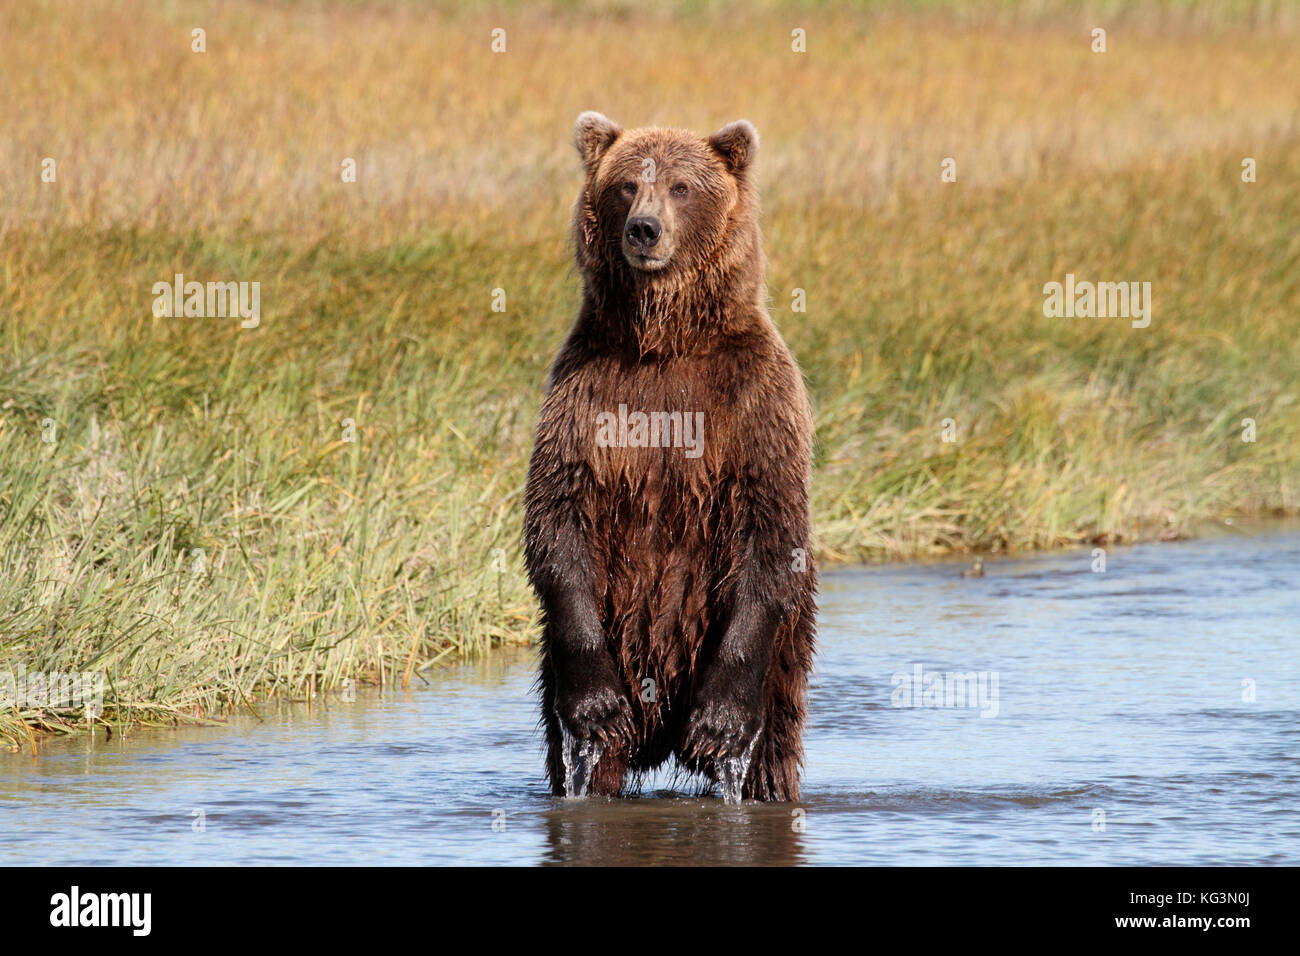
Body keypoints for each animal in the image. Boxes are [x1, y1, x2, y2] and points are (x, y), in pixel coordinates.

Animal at [523, 112, 817, 803]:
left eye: (682, 186)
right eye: (628, 184)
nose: (644, 229)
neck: (665, 342)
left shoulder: (755, 402)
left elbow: (770, 533)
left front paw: (720, 724)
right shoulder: (588, 393)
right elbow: (559, 517)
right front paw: (597, 709)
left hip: (782, 668)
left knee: (771, 760)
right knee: (586, 755)